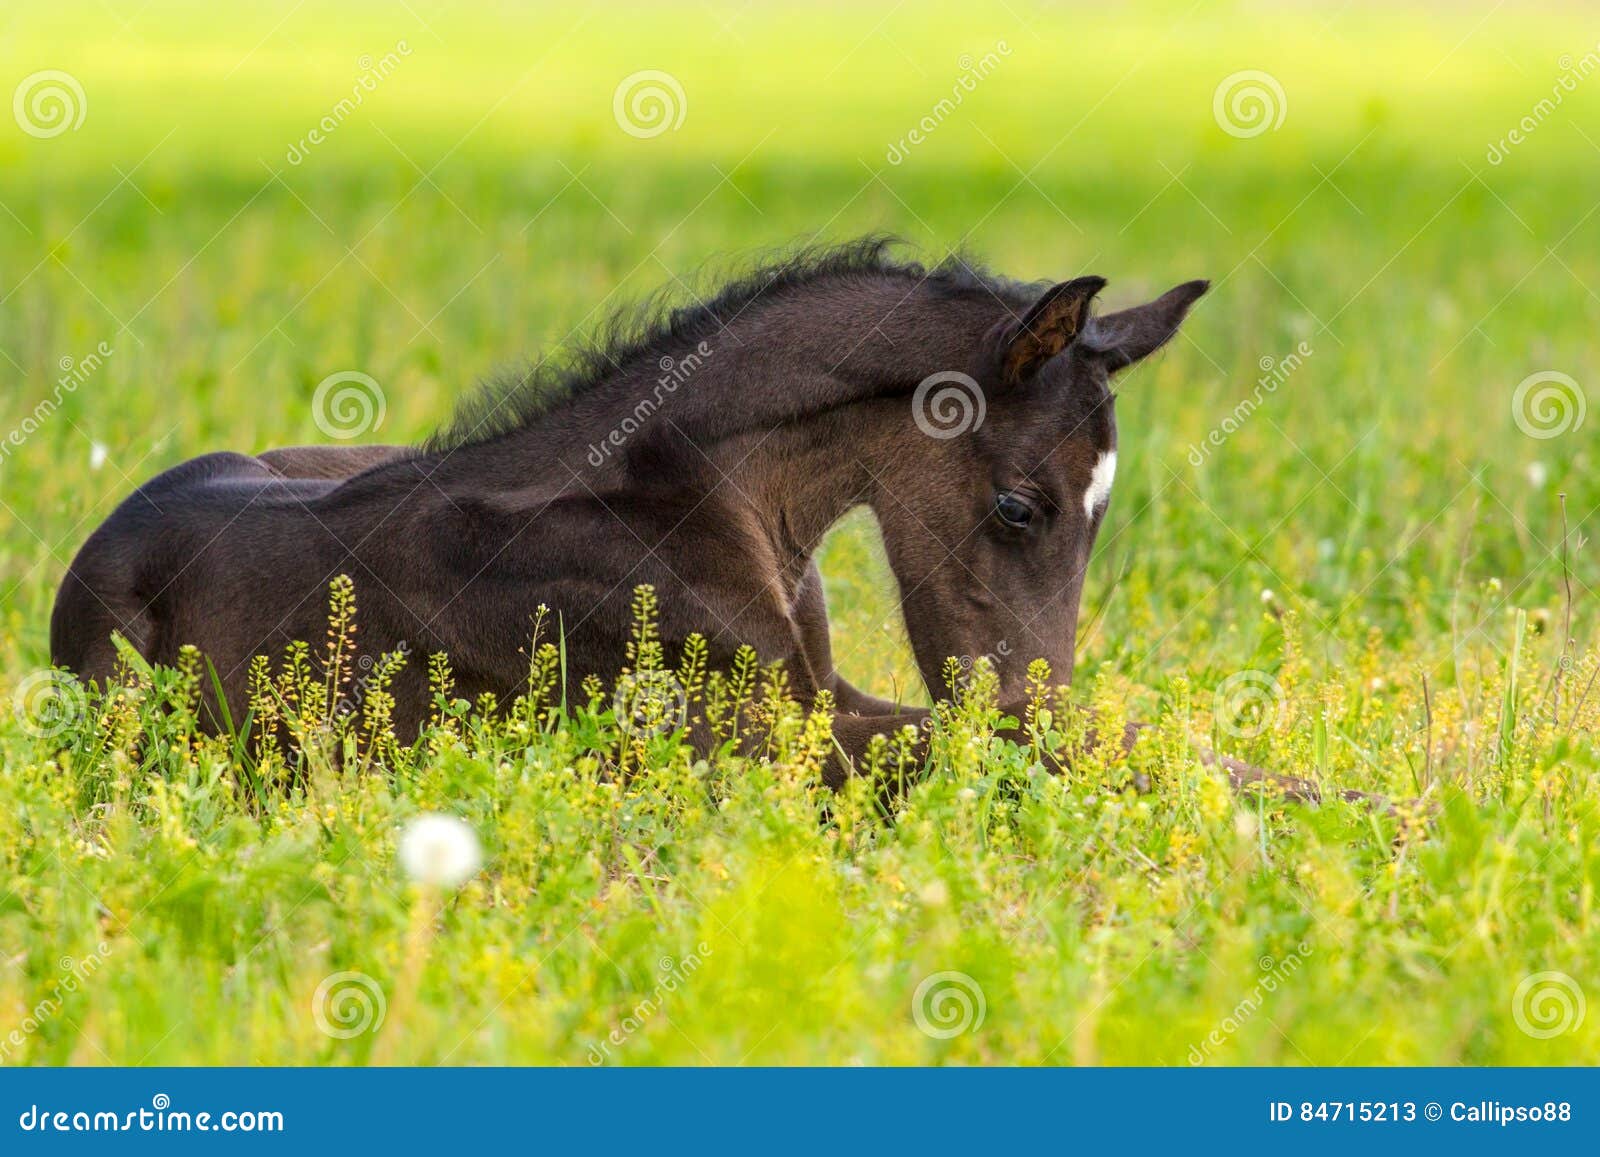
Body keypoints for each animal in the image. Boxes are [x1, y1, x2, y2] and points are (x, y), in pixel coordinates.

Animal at [51, 238, 1333, 798]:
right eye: (1022, 505)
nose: (1029, 688)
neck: (706, 495)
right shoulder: (761, 734)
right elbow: (1035, 750)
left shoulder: (824, 689)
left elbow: (1139, 739)